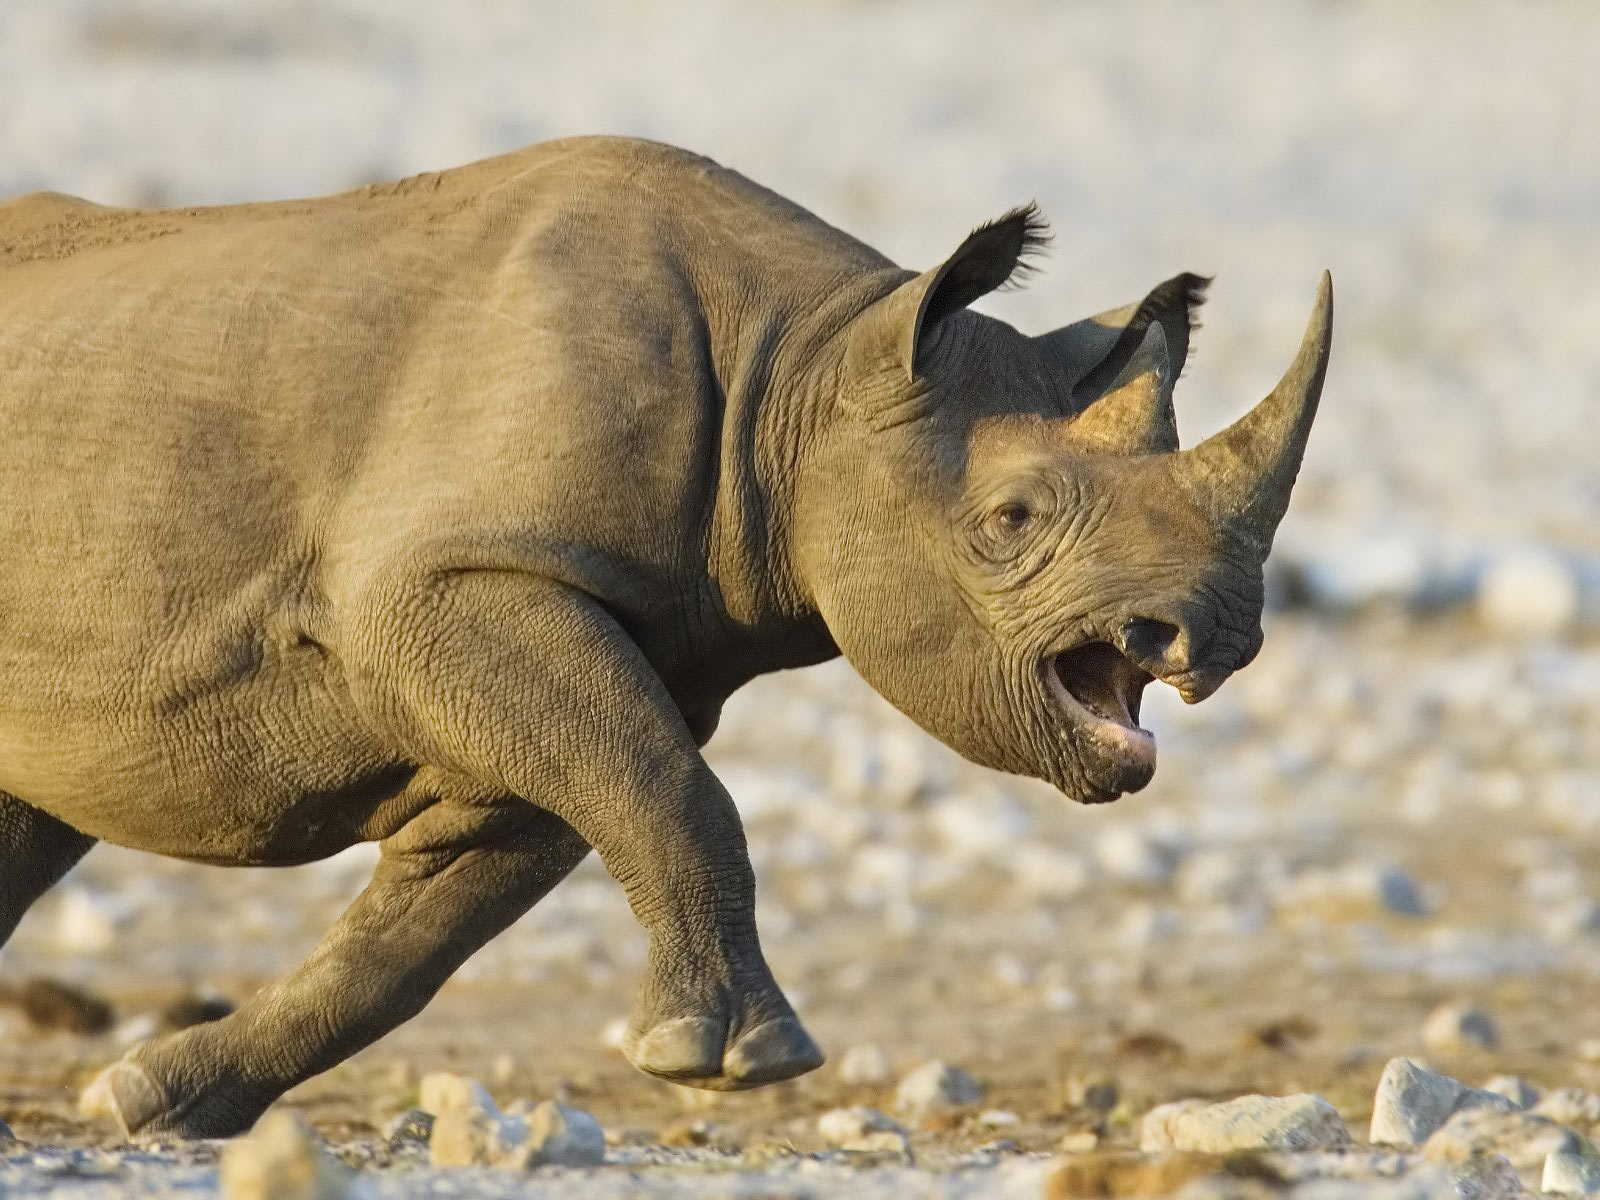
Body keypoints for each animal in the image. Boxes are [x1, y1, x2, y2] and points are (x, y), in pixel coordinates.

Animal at [0, 136, 1331, 1137]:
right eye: (1009, 521)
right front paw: (737, 1060)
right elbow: (673, 794)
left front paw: (158, 1104)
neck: (807, 372)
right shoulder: (454, 582)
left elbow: (424, 930)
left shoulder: (564, 649)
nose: (1215, 632)